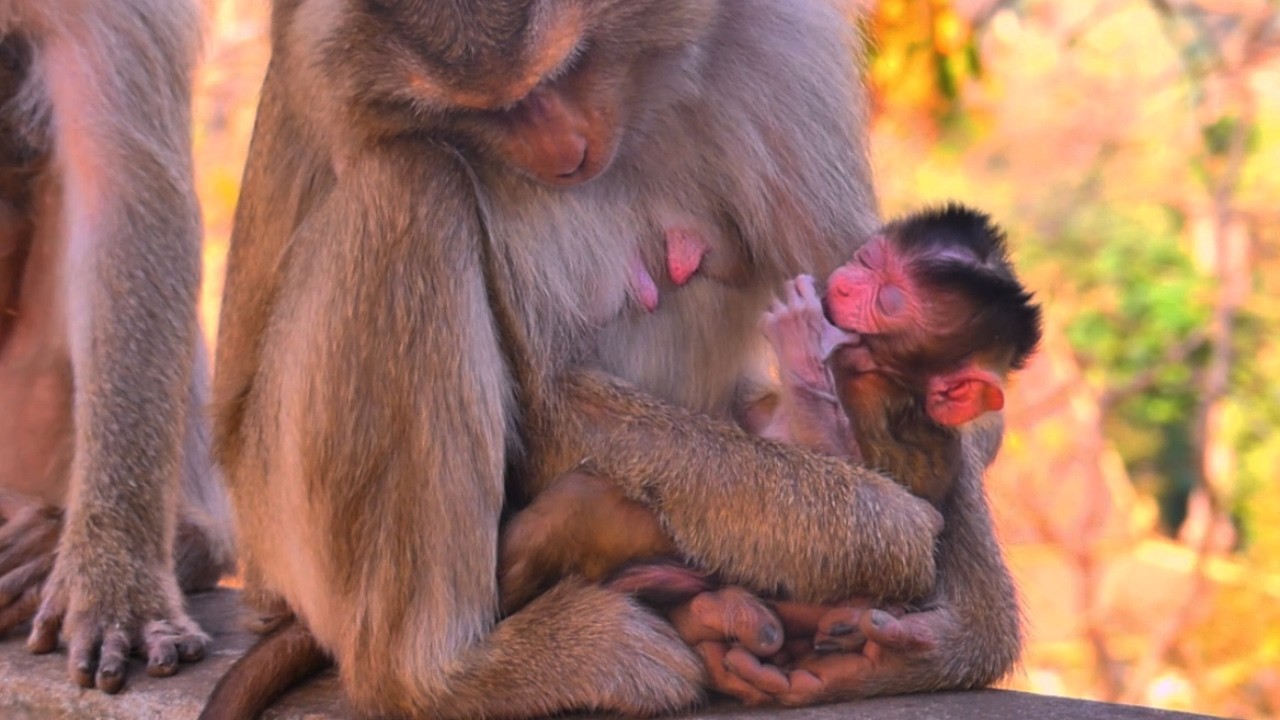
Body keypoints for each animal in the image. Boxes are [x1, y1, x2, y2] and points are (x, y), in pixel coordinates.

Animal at [204, 1, 994, 718]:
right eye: (491, 111)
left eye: (569, 68)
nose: (562, 157)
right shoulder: (332, 77)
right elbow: (546, 401)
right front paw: (880, 533)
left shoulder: (777, 29)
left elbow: (857, 296)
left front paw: (960, 635)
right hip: (277, 509)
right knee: (410, 185)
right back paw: (438, 676)